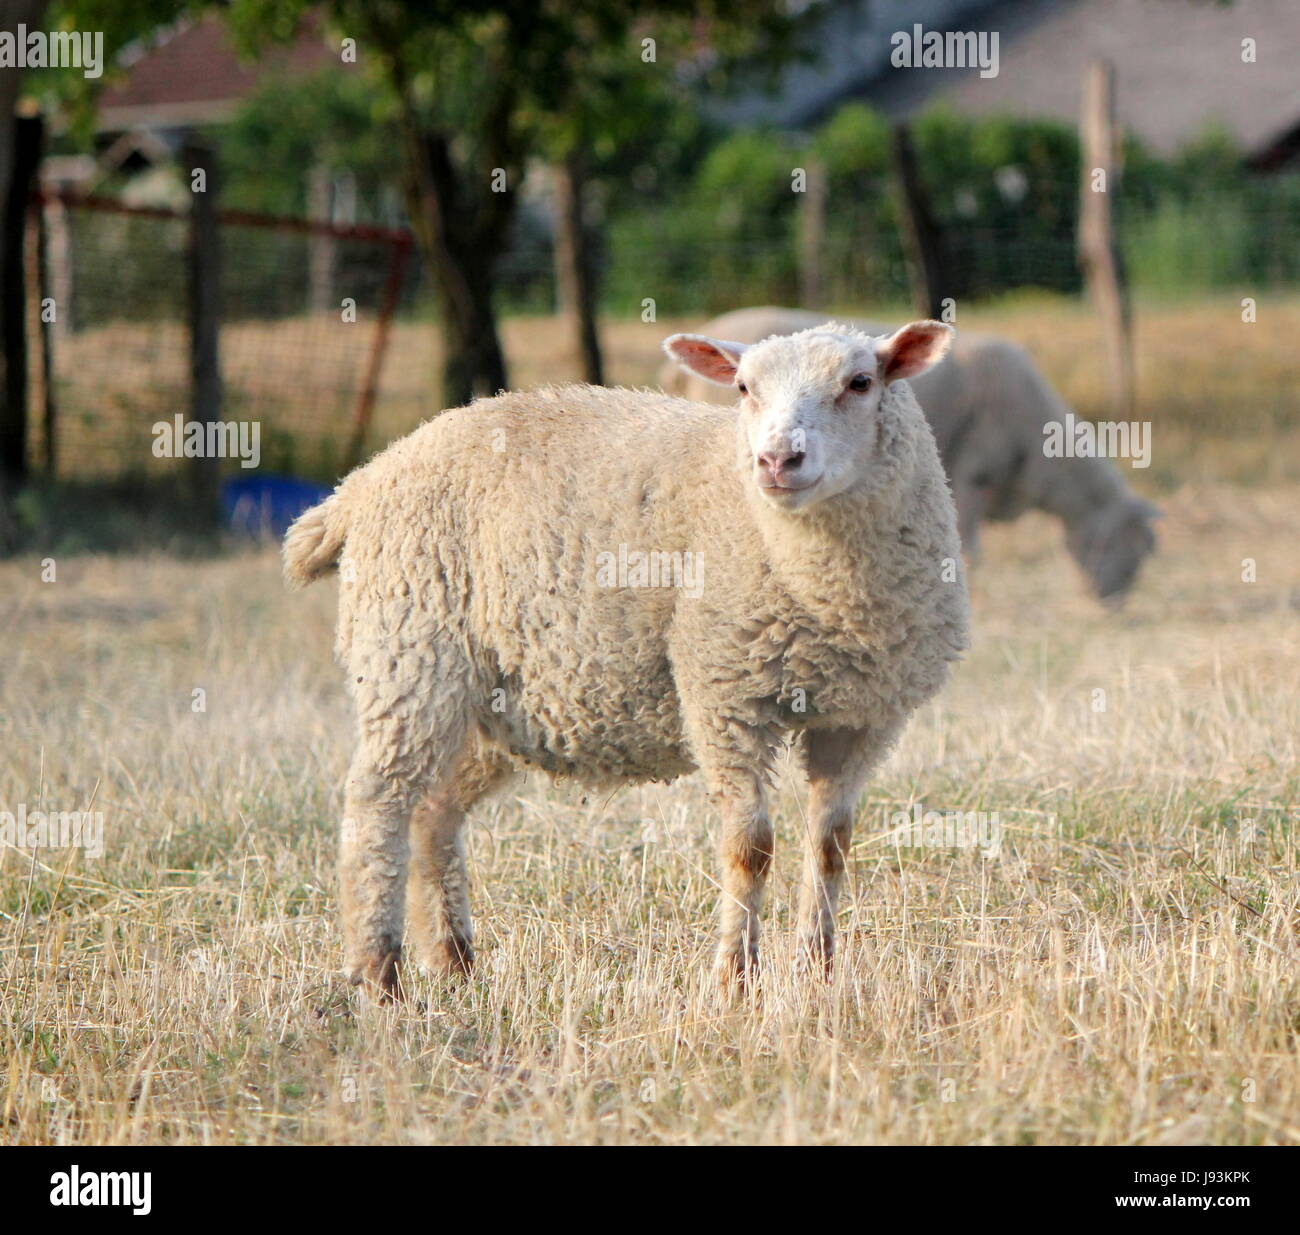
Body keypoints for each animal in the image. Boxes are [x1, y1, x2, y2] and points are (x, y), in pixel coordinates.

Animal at [284, 320, 969, 998]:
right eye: (743, 388)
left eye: (860, 383)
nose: (777, 460)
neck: (823, 592)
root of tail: (362, 482)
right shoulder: (724, 693)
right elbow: (750, 848)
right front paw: (735, 979)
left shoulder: (860, 718)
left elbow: (832, 846)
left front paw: (817, 974)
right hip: (410, 650)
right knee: (378, 802)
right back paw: (377, 973)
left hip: (491, 703)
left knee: (434, 809)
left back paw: (453, 958)